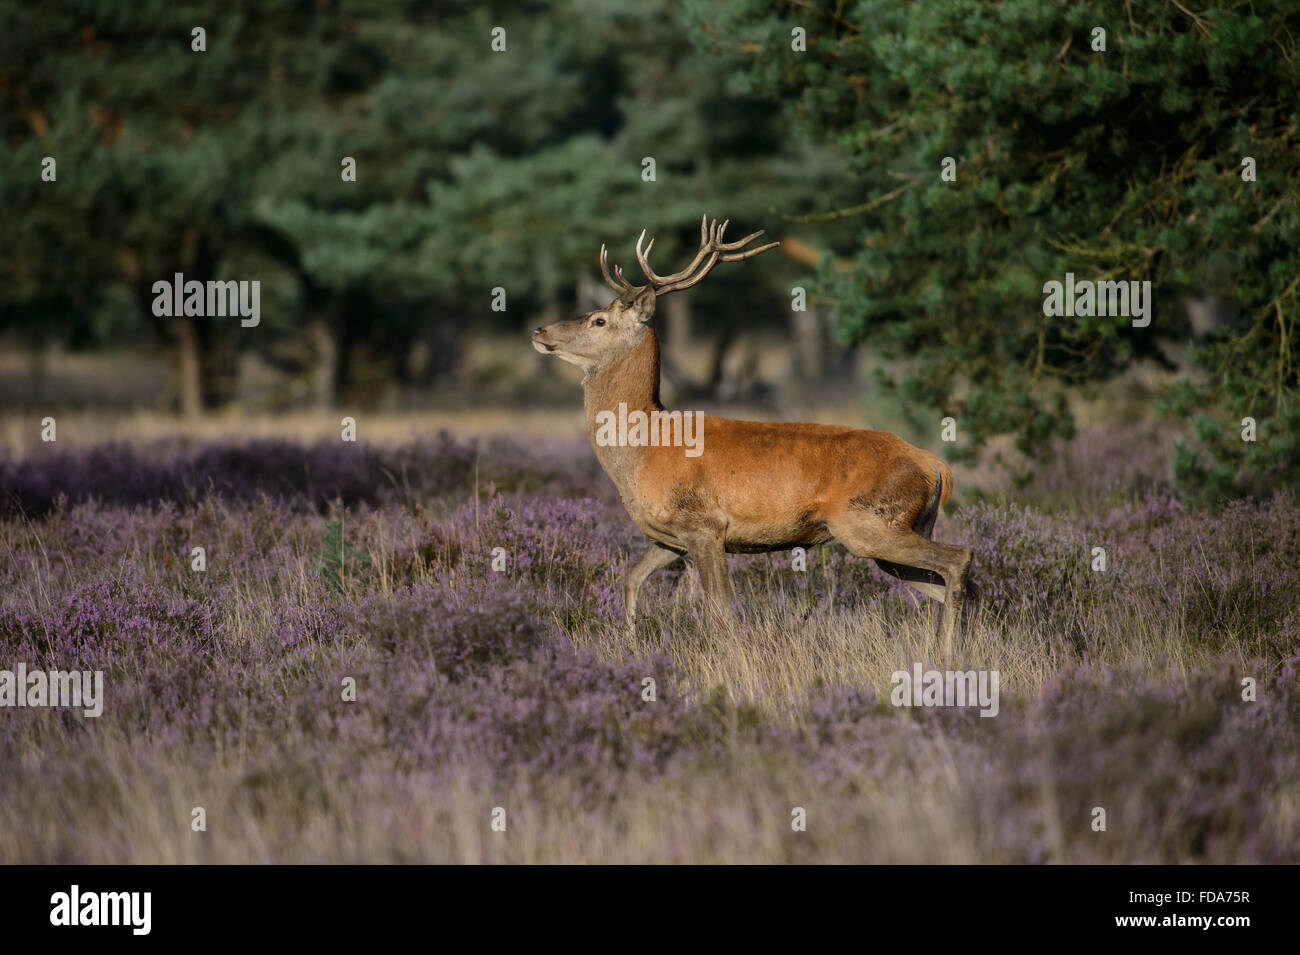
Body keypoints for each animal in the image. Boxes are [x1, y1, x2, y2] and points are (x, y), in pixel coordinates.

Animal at [531, 216, 975, 657]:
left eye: (598, 320)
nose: (539, 330)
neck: (644, 448)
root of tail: (936, 466)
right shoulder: (671, 537)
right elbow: (631, 577)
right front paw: (630, 641)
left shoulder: (704, 524)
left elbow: (721, 609)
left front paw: (728, 660)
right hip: (901, 531)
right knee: (947, 584)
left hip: (872, 523)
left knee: (960, 558)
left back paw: (947, 654)